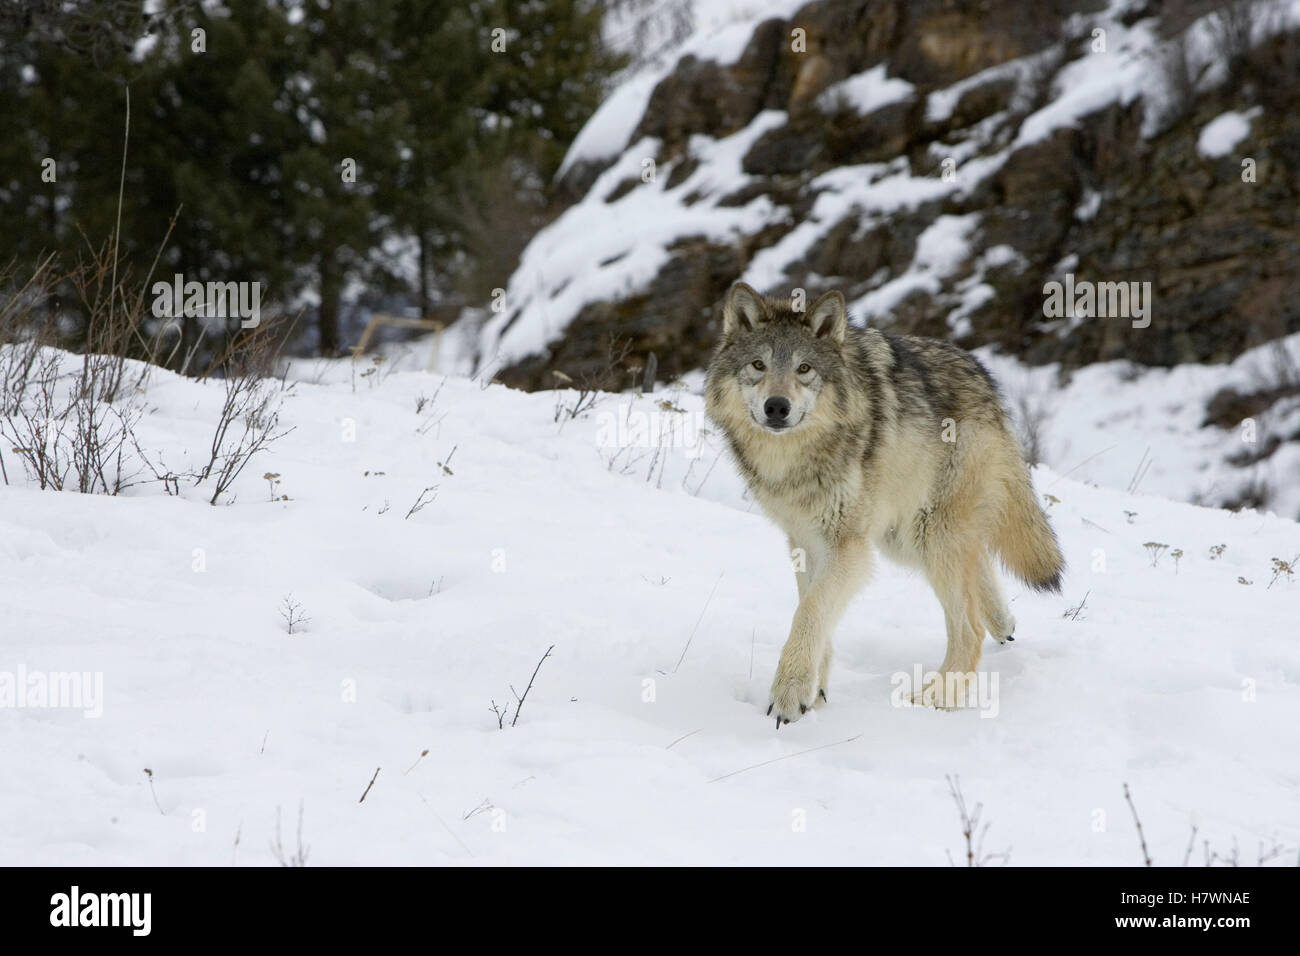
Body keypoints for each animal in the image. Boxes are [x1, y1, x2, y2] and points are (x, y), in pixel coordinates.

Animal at [704, 283, 1064, 727]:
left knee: (969, 629)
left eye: (804, 369)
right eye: (758, 365)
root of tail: (984, 378)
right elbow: (814, 608)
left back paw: (936, 699)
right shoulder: (806, 542)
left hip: (928, 536)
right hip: (907, 538)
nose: (776, 406)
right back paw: (1003, 622)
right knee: (978, 562)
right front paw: (814, 692)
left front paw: (789, 695)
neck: (796, 460)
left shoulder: (848, 546)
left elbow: (810, 612)